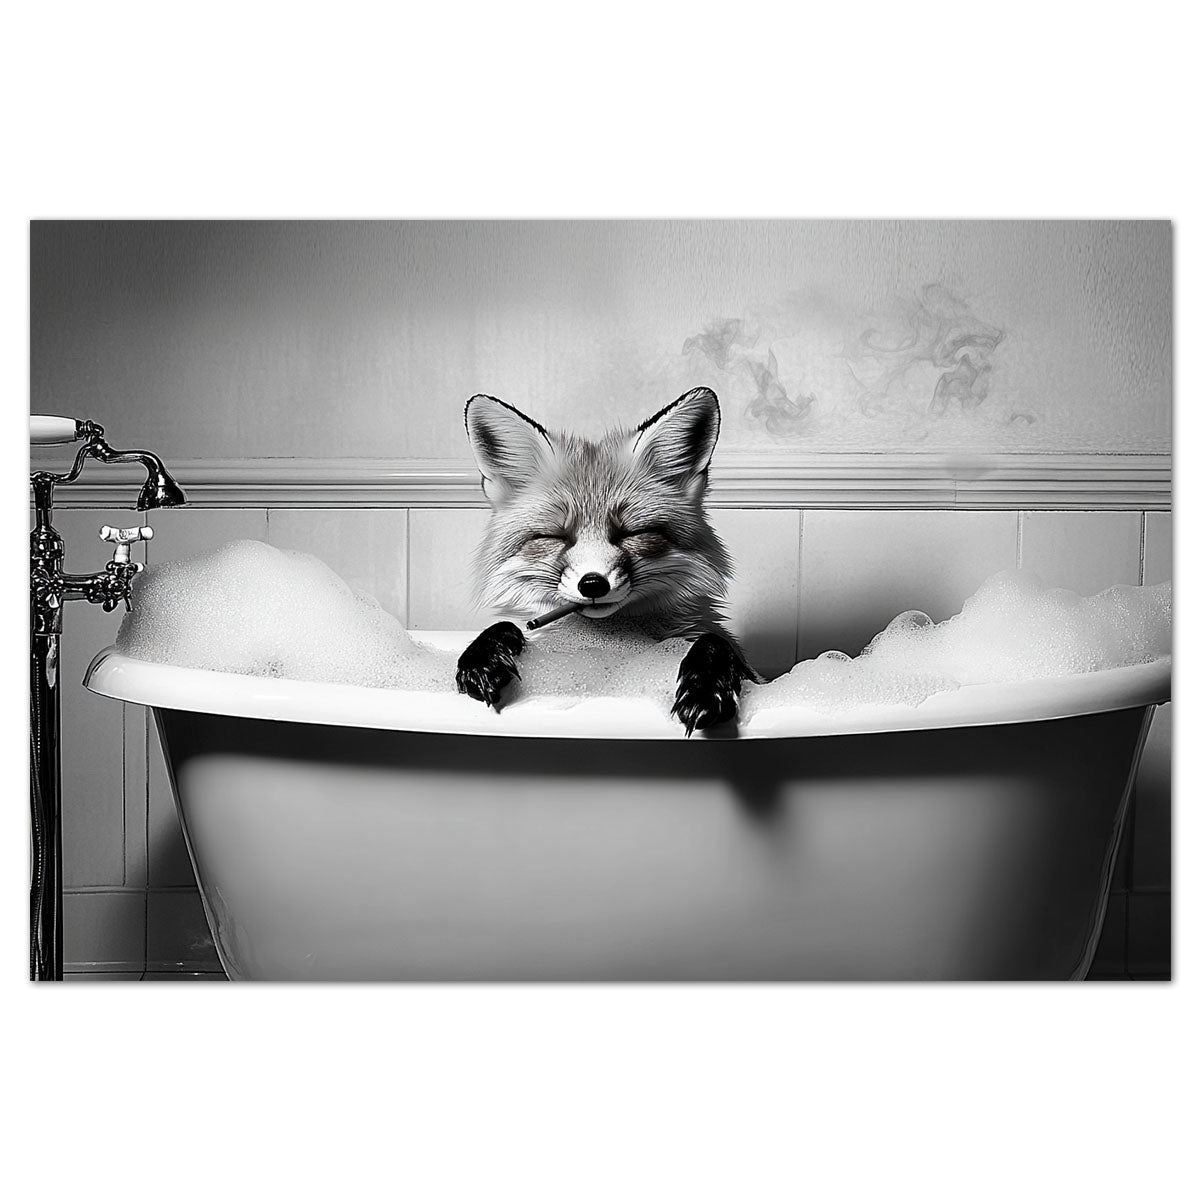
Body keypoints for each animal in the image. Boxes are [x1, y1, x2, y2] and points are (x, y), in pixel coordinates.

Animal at [454, 385, 755, 734]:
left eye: (632, 533)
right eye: (555, 536)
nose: (593, 584)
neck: (606, 644)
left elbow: (714, 641)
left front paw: (705, 687)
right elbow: (502, 625)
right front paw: (482, 660)